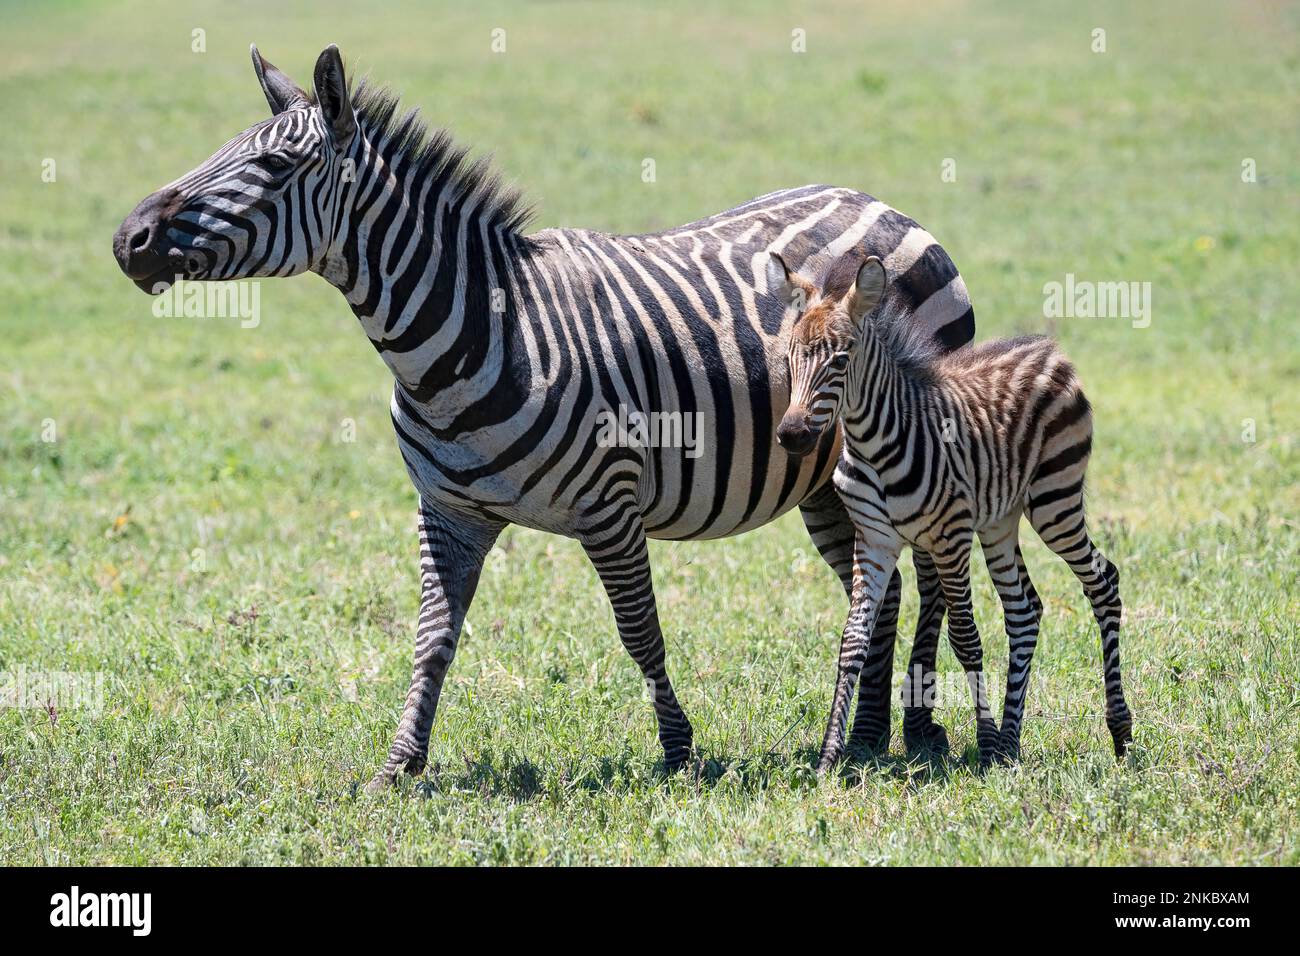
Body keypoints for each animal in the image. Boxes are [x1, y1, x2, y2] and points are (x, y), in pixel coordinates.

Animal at [110, 44, 976, 787]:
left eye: (273, 166)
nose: (128, 238)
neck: (476, 334)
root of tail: (879, 202)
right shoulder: (449, 511)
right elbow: (431, 638)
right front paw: (400, 766)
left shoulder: (610, 505)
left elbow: (640, 631)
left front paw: (680, 752)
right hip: (826, 481)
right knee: (881, 589)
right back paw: (867, 741)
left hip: (906, 454)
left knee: (931, 578)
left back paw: (918, 734)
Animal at [769, 253, 1133, 769]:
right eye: (789, 359)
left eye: (840, 361)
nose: (793, 436)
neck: (873, 443)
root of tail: (1051, 352)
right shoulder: (874, 540)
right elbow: (853, 641)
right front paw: (828, 757)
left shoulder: (950, 536)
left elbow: (965, 638)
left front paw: (984, 743)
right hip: (1000, 520)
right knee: (1024, 610)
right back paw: (1012, 741)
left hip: (1054, 500)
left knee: (1104, 581)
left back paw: (1118, 731)